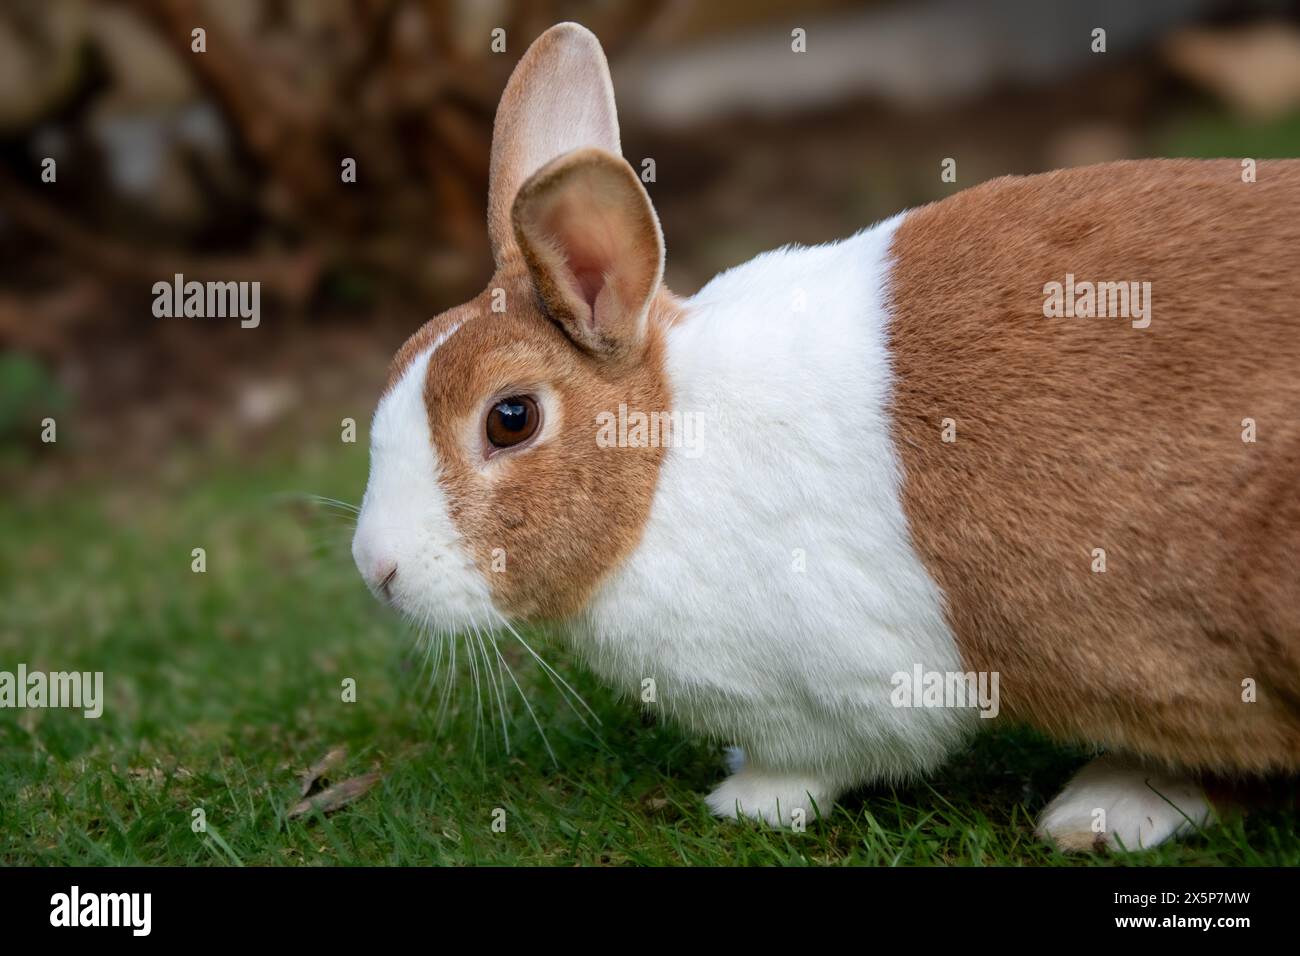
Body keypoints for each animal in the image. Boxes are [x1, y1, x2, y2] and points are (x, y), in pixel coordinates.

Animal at [351, 22, 1300, 850]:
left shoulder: (857, 683)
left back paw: (1099, 810)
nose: (377, 571)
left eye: (510, 419)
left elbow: (831, 756)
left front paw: (748, 800)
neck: (663, 458)